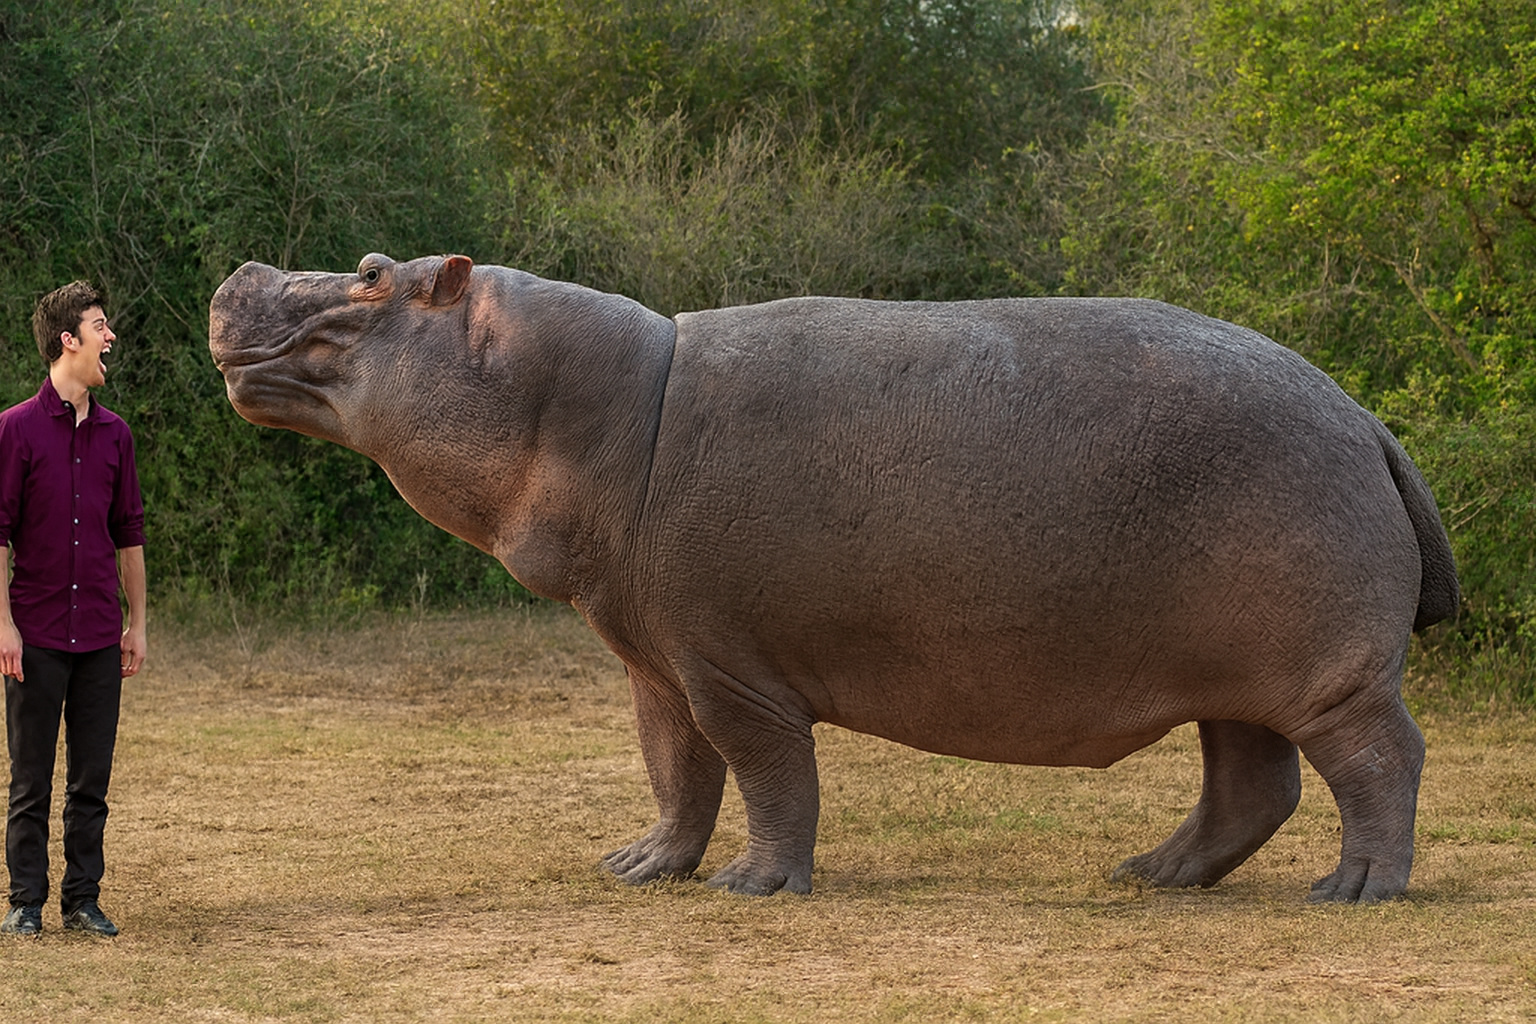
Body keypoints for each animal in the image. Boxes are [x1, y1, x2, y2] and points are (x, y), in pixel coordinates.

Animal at [208, 252, 1458, 903]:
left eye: (372, 277)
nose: (240, 269)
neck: (599, 402)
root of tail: (1368, 422)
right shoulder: (655, 658)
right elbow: (675, 769)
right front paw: (639, 867)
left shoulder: (730, 666)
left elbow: (765, 772)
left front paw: (753, 887)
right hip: (1233, 676)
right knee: (1250, 784)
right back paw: (1148, 871)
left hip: (1329, 673)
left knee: (1380, 762)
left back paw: (1355, 890)